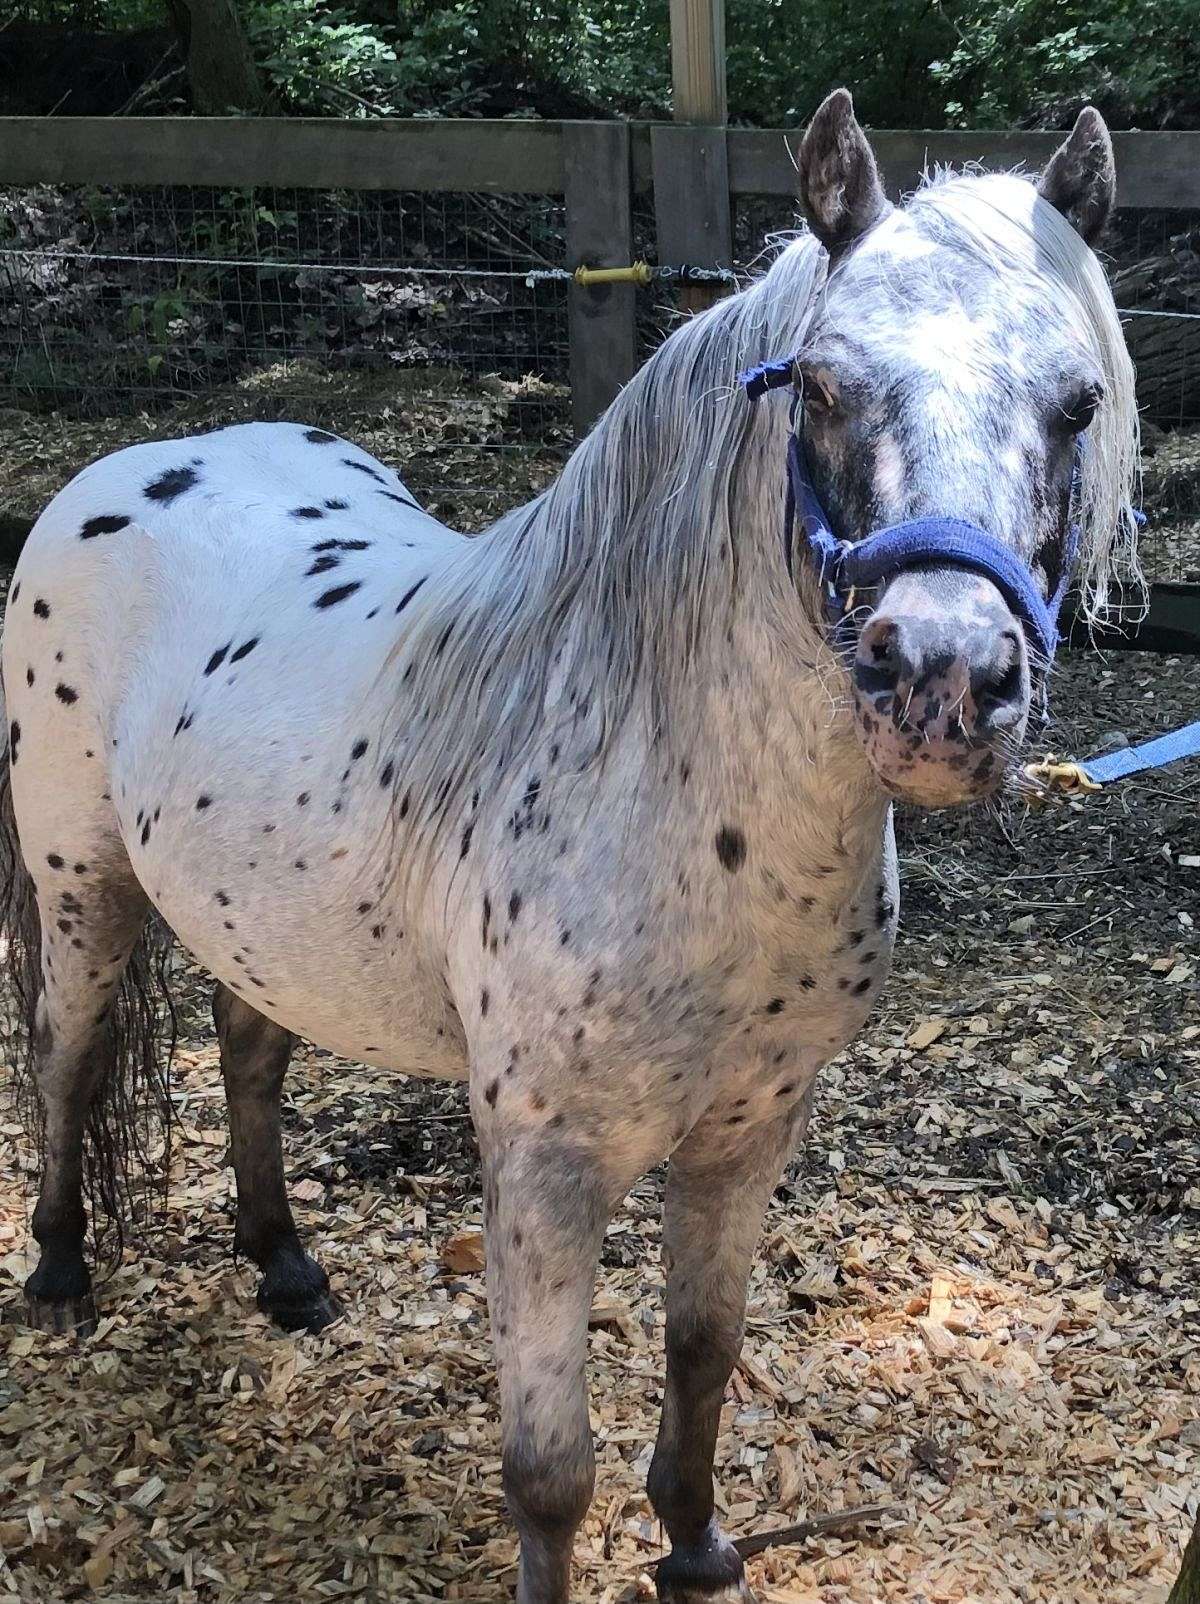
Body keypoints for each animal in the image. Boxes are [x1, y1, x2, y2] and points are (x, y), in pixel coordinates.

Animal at [1, 92, 1139, 1604]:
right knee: (64, 1059)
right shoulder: (547, 1164)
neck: (678, 812)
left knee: (248, 1052)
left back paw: (285, 1266)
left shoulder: (748, 1133)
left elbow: (703, 1352)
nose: (944, 679)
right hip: (86, 892)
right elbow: (547, 1471)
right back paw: (62, 1276)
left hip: (255, 919)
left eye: (1078, 402)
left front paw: (701, 1547)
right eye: (823, 387)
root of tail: (118, 473)